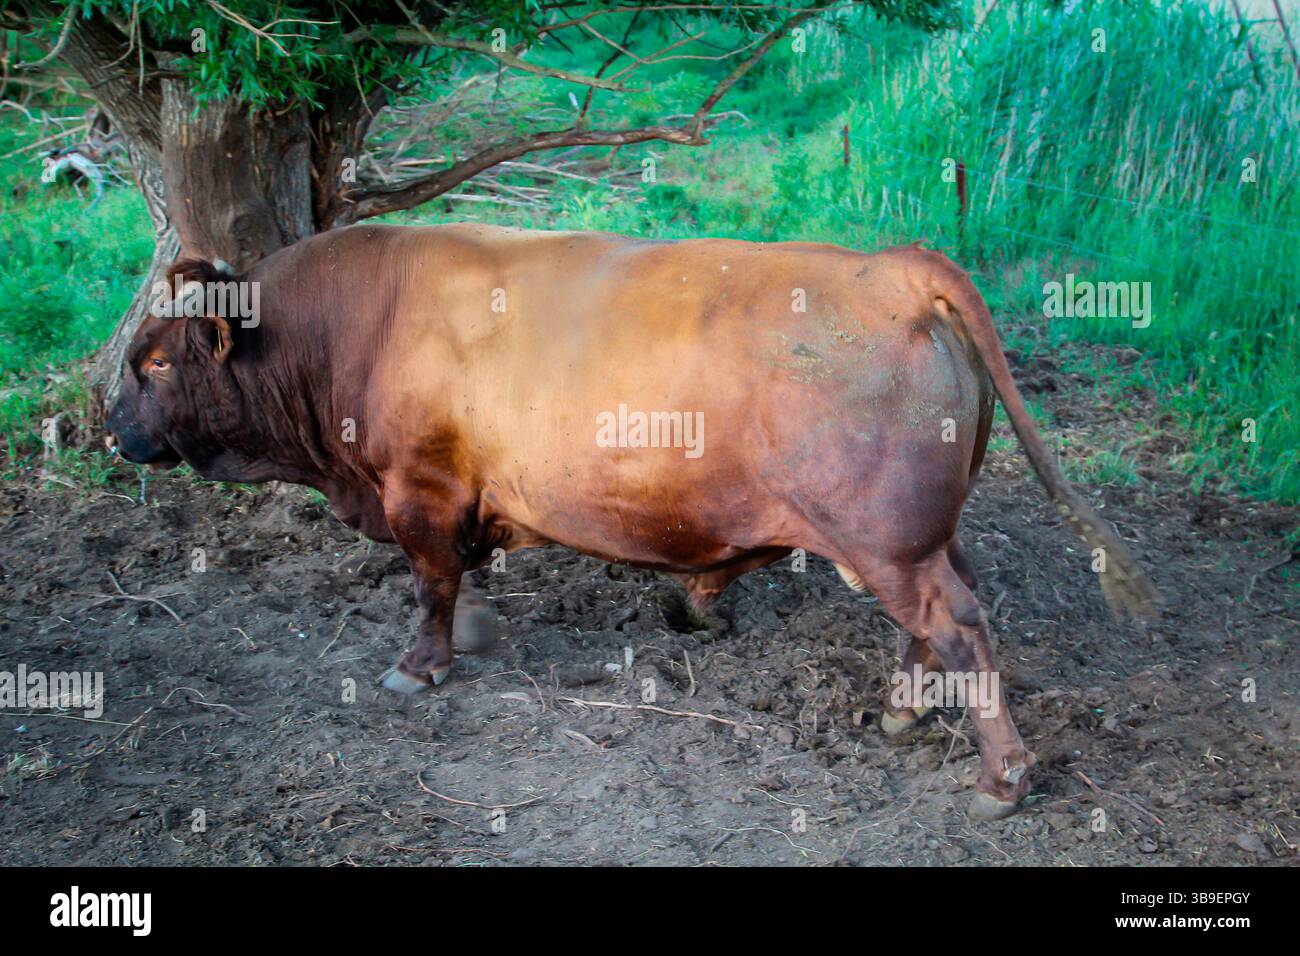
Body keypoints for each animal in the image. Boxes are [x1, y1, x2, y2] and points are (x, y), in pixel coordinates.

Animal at [106, 223, 1158, 819]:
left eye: (154, 362)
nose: (108, 429)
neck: (356, 323)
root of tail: (892, 271)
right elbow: (459, 576)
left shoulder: (420, 489)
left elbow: (432, 582)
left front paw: (422, 665)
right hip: (915, 535)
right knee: (941, 617)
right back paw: (904, 712)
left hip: (886, 538)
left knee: (959, 625)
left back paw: (1001, 781)